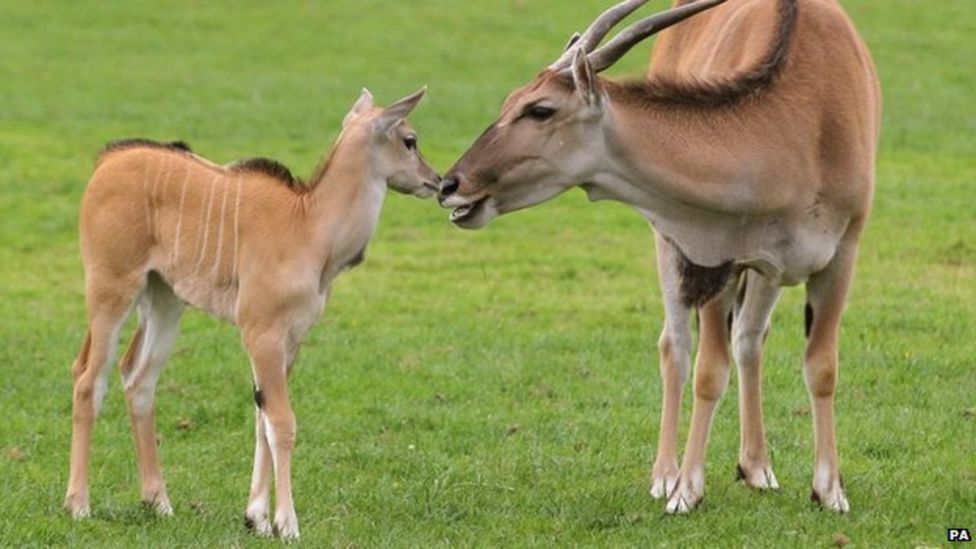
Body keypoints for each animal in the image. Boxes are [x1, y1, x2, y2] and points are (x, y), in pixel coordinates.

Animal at [64, 88, 438, 538]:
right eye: (410, 140)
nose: (439, 181)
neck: (309, 227)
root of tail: (106, 163)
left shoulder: (290, 341)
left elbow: (263, 418)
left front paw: (257, 518)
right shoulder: (262, 334)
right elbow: (282, 422)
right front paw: (287, 524)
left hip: (165, 300)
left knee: (138, 379)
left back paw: (159, 503)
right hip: (111, 288)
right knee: (89, 379)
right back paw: (79, 505)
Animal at [439, 0, 879, 513]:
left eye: (539, 109)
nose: (451, 184)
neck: (803, 123)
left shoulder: (842, 253)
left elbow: (821, 366)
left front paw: (830, 490)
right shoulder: (715, 255)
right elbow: (707, 371)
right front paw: (686, 489)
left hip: (766, 273)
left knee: (749, 340)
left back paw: (756, 466)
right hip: (670, 244)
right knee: (677, 345)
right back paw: (667, 474)